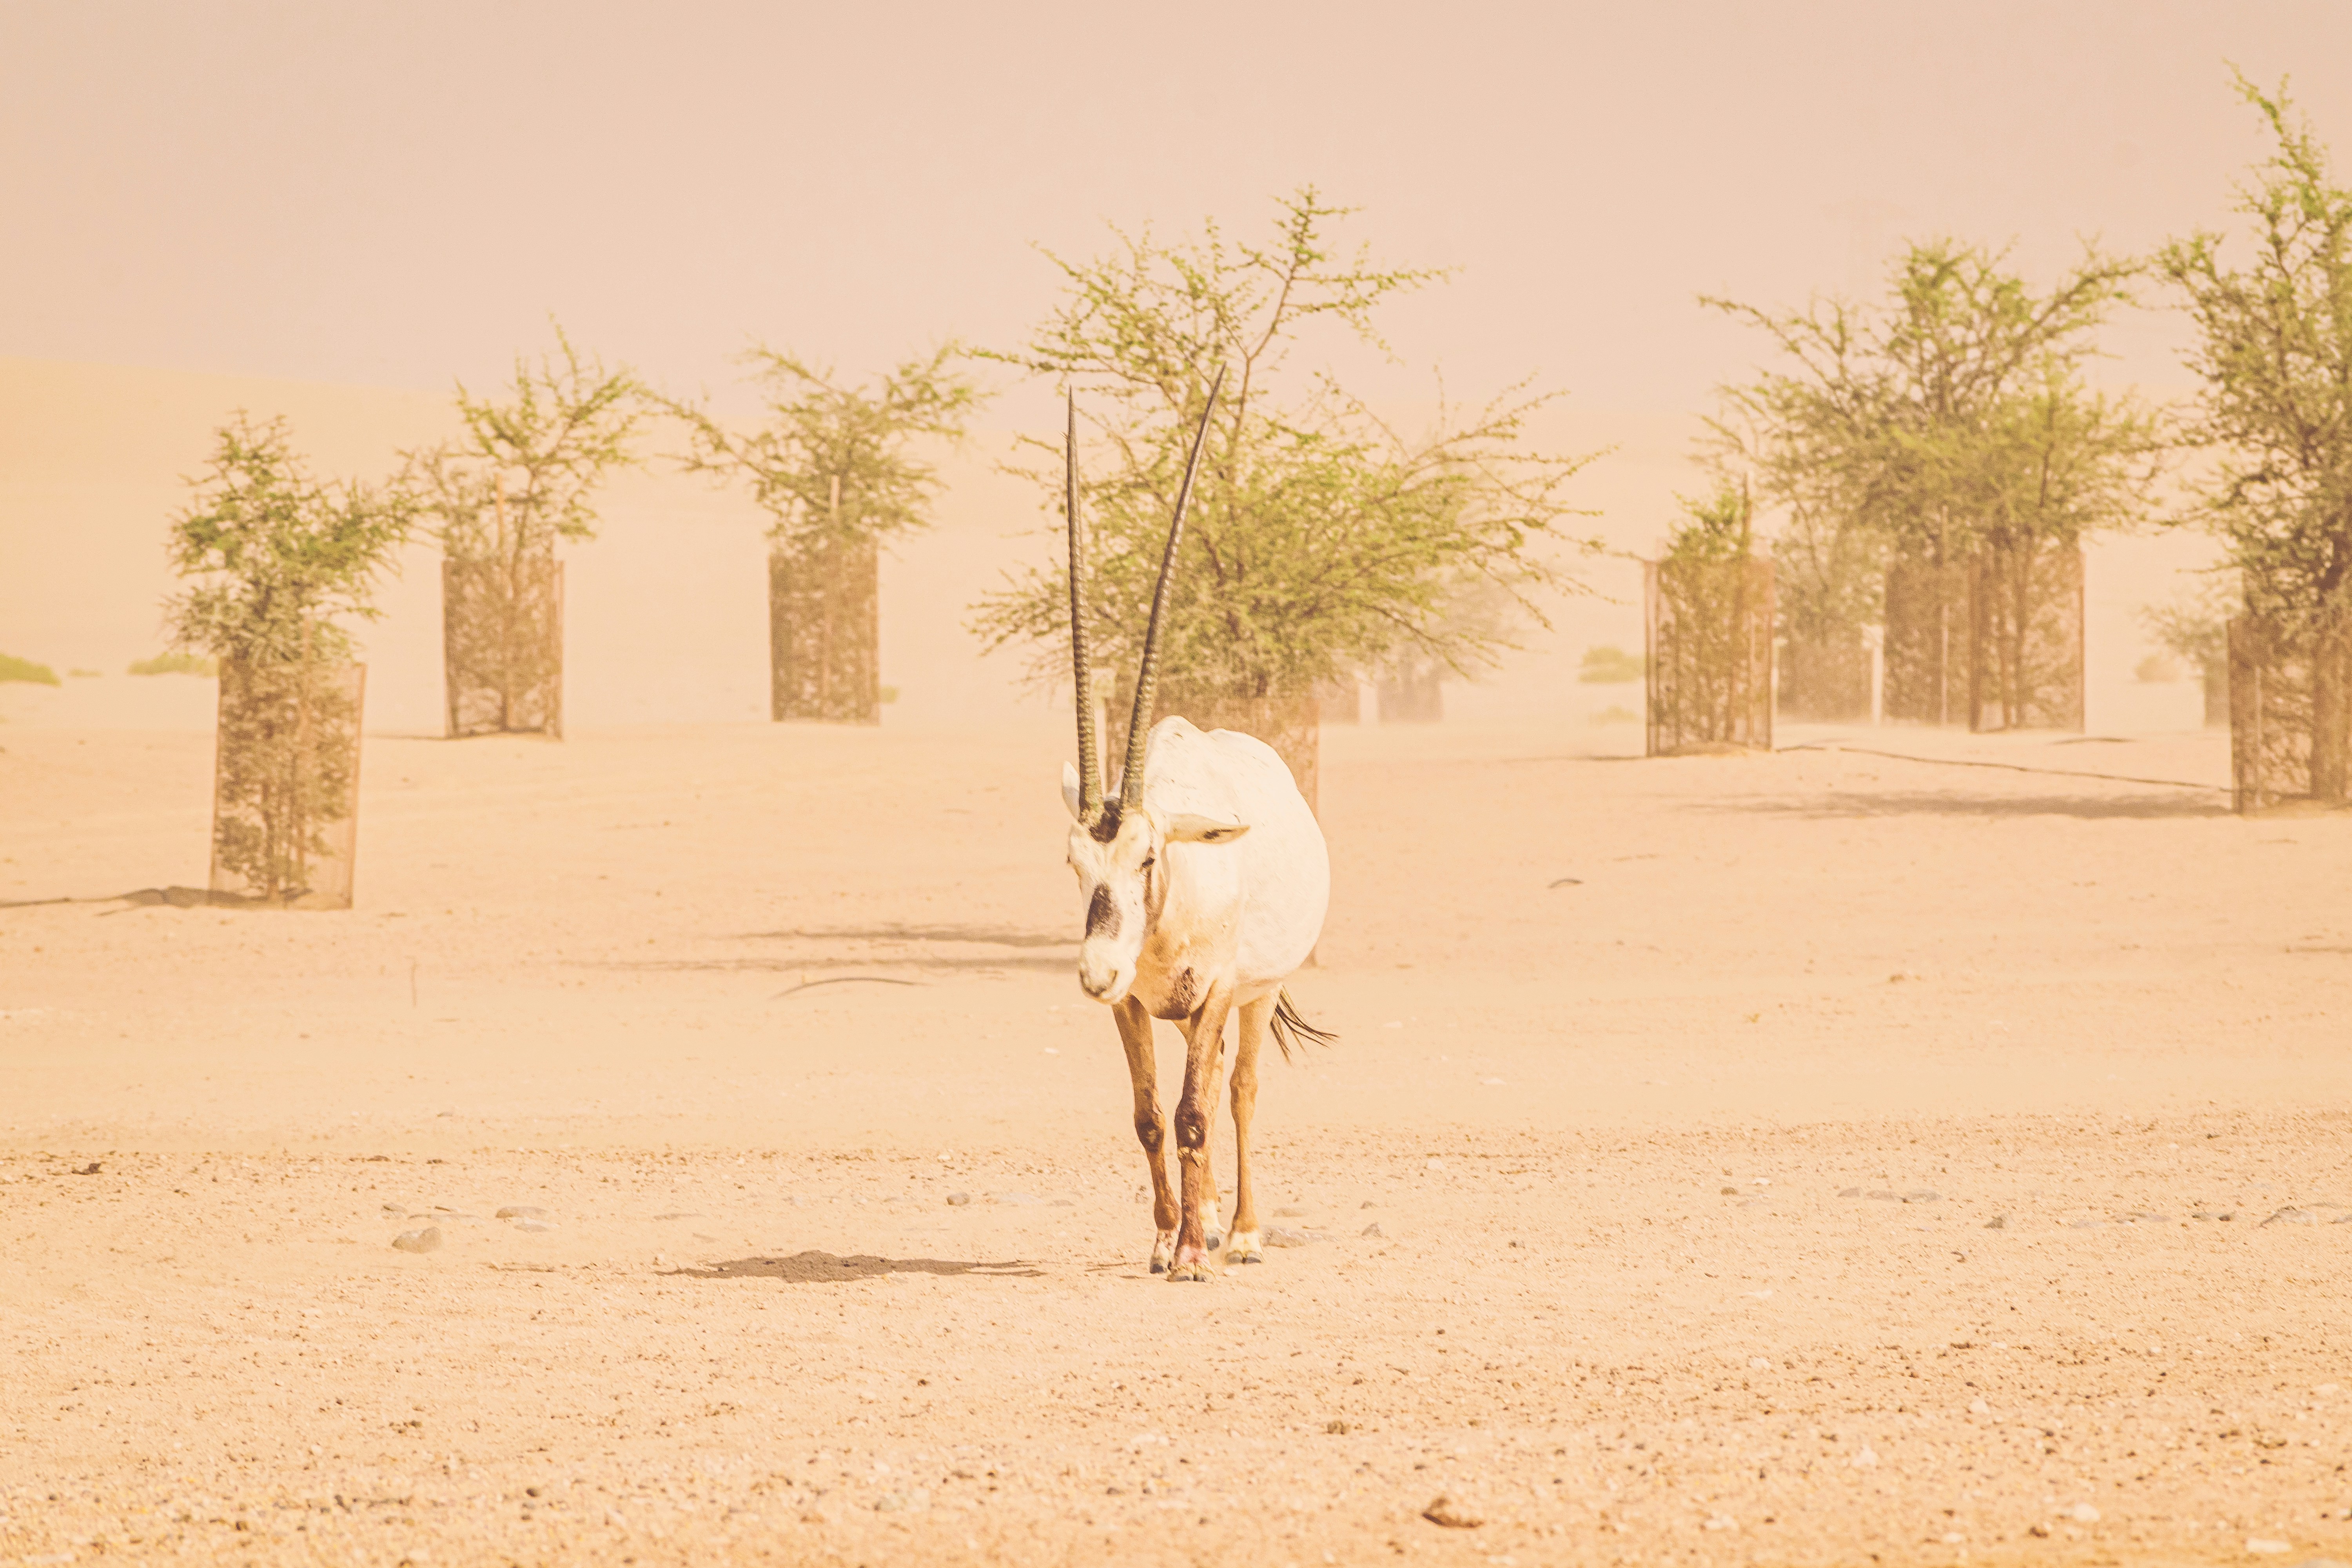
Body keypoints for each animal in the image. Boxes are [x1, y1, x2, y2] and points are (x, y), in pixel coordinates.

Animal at [1056, 373, 1335, 1283]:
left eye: (1148, 856)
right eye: (1075, 863)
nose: (1095, 969)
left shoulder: (1214, 992)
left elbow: (1194, 1114)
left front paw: (1191, 1255)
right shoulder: (1133, 1007)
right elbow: (1151, 1114)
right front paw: (1164, 1238)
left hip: (1256, 992)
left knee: (1234, 1091)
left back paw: (1239, 1232)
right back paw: (1207, 1217)